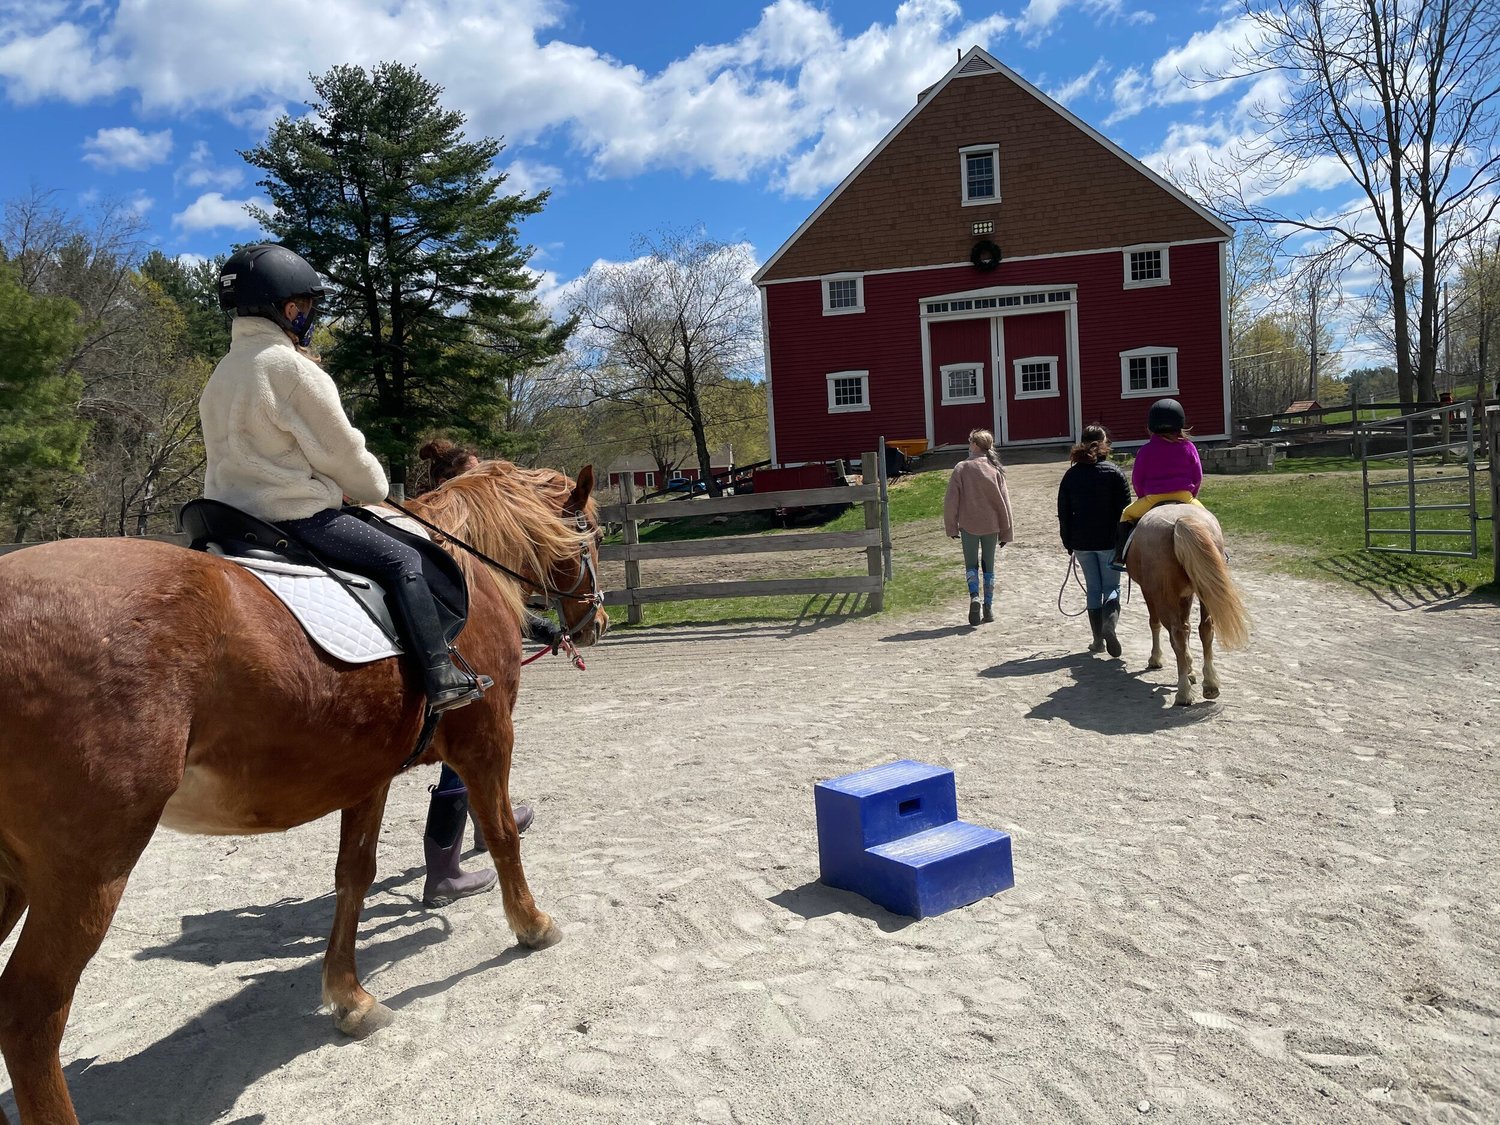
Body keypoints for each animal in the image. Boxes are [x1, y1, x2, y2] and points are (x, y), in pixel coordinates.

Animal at [0, 460, 607, 1125]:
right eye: (595, 533)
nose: (597, 622)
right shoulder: (488, 740)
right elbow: (500, 834)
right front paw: (533, 924)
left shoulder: (369, 771)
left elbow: (354, 876)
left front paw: (350, 997)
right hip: (87, 869)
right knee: (30, 1012)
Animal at [1124, 503, 1250, 706]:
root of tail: (1180, 521)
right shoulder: (1186, 594)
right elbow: (1189, 627)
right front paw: (1191, 669)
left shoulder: (1148, 591)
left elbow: (1155, 624)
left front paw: (1157, 659)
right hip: (1204, 591)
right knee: (1204, 628)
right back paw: (1210, 684)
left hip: (1164, 597)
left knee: (1177, 633)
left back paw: (1183, 692)